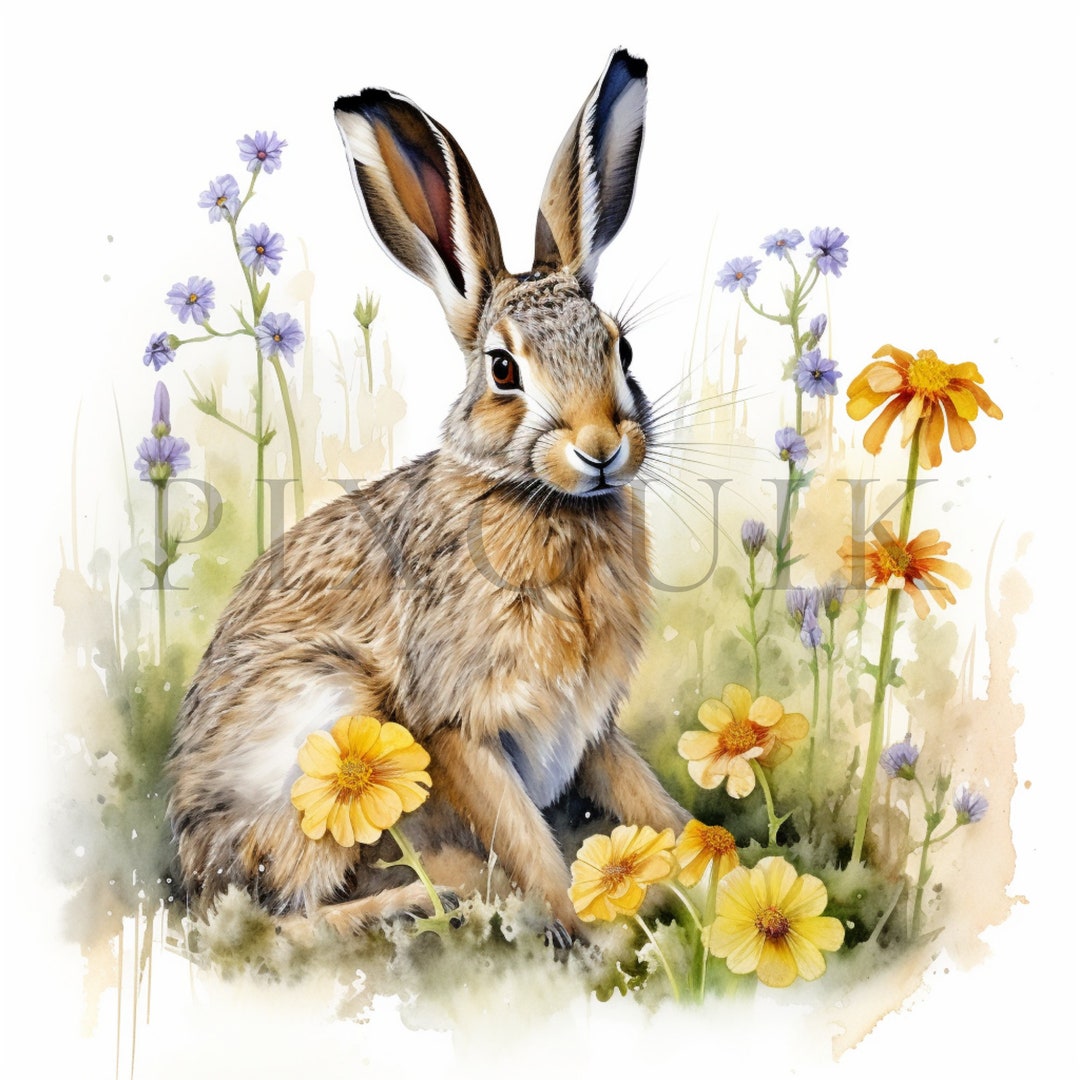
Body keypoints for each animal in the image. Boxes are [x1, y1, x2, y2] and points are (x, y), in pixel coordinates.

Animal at [166, 48, 689, 941]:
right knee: (284, 920)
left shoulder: (590, 728)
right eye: (503, 369)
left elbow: (644, 798)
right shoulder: (457, 726)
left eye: (622, 350)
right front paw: (581, 929)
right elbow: (528, 842)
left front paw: (726, 863)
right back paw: (433, 896)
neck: (541, 501)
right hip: (327, 724)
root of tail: (190, 863)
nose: (600, 447)